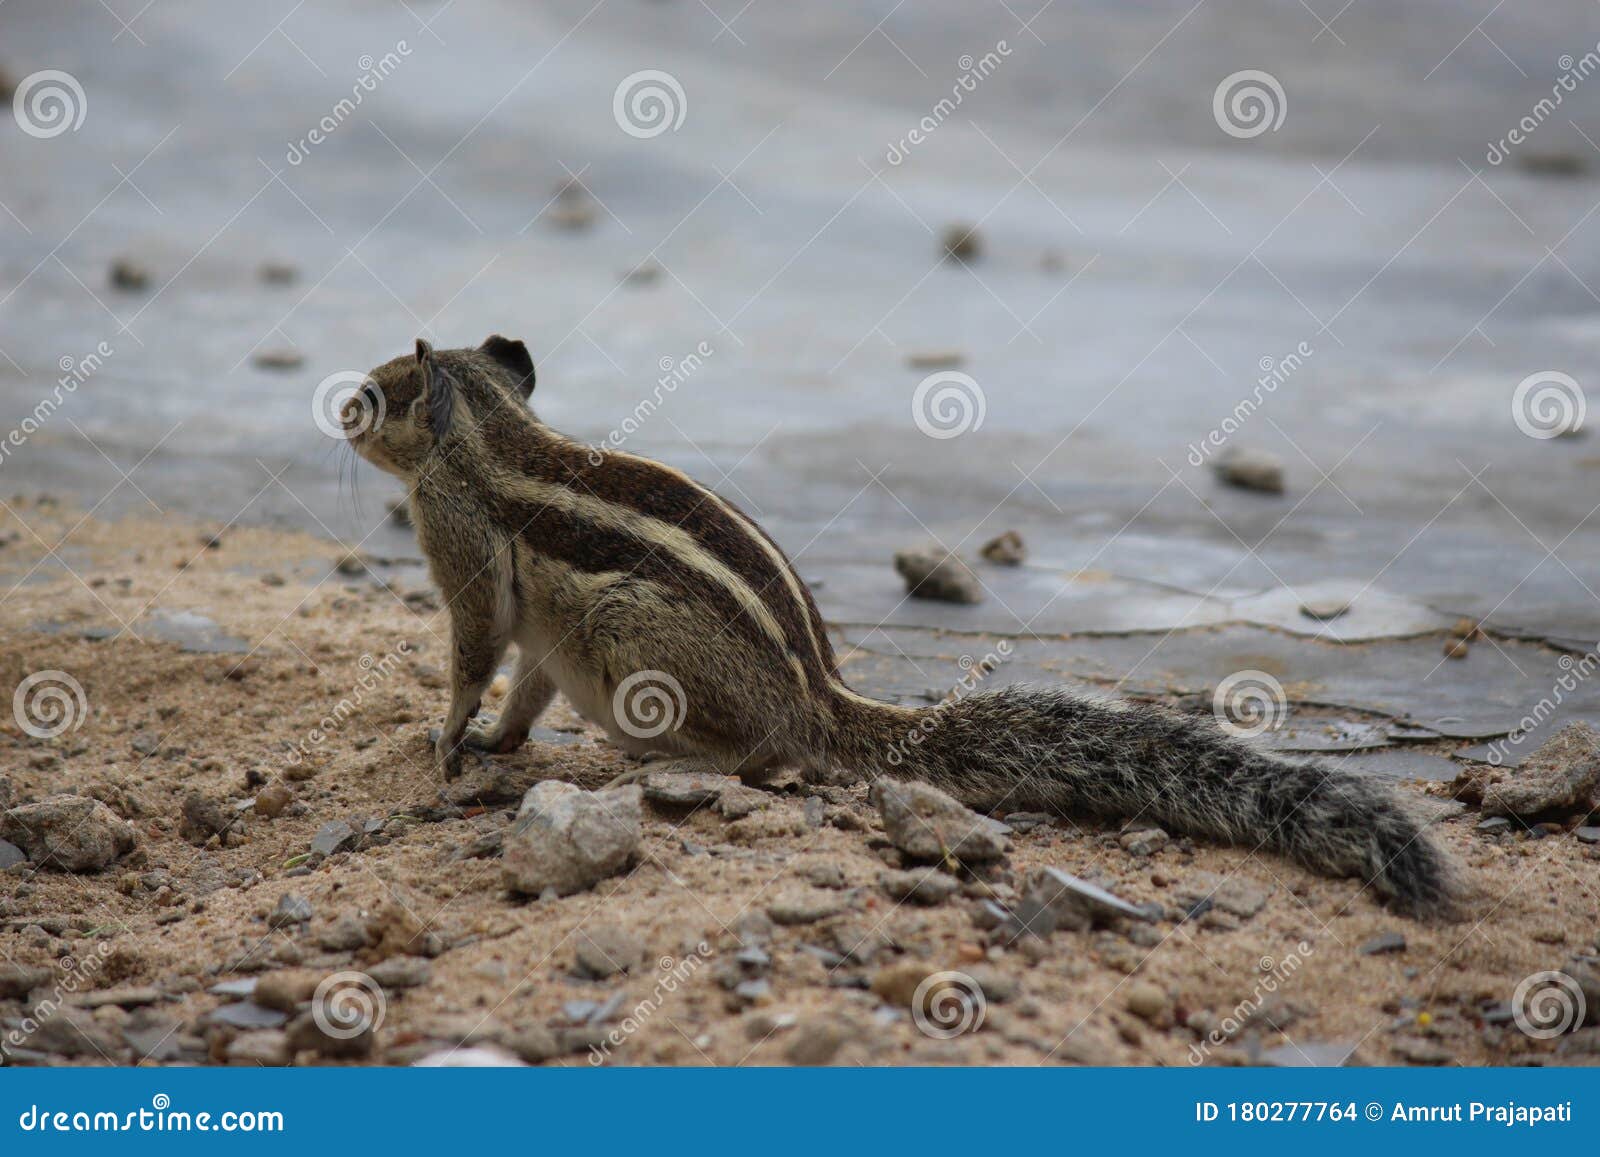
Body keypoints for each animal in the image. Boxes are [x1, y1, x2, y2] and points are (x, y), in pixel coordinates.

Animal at [343, 336, 1459, 919]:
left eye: (372, 394)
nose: (336, 411)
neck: (490, 431)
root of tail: (821, 698)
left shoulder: (462, 549)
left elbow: (473, 649)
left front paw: (449, 738)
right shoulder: (542, 632)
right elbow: (525, 680)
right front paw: (497, 740)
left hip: (631, 640)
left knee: (761, 754)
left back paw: (671, 762)